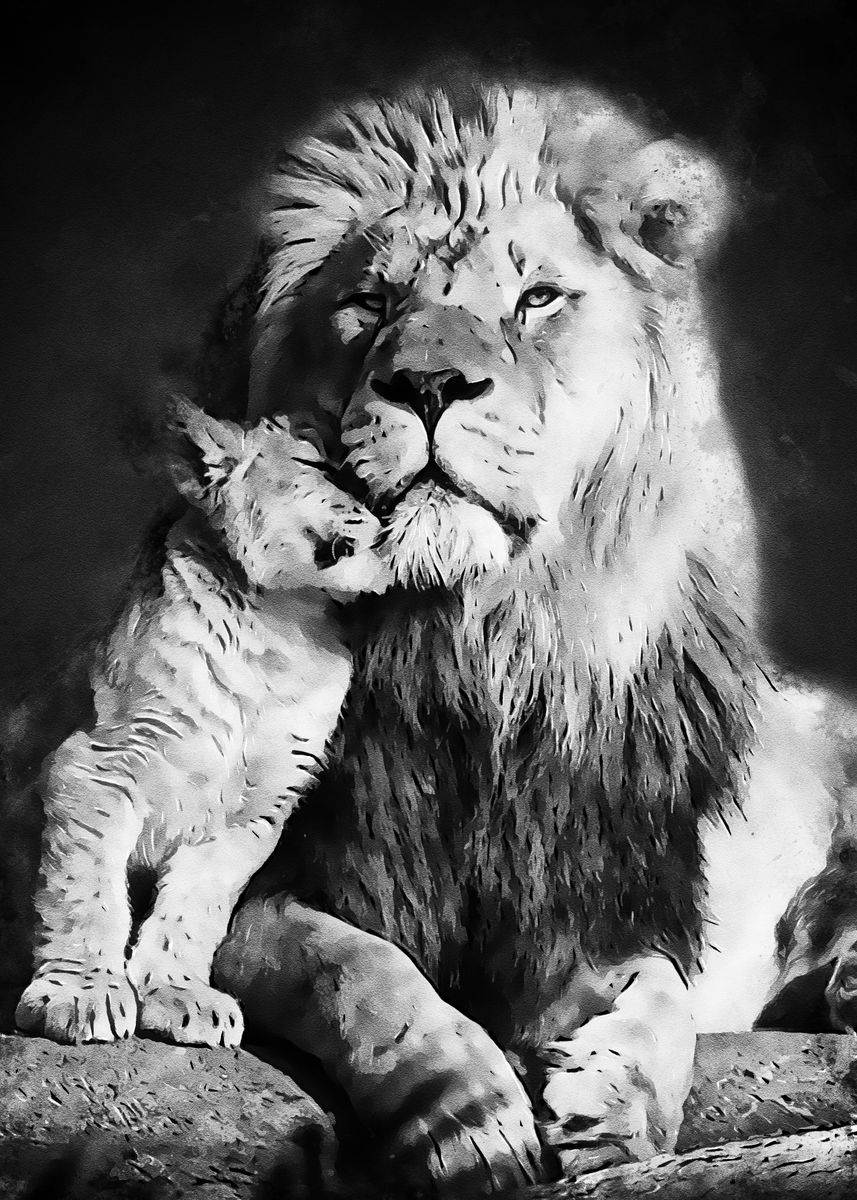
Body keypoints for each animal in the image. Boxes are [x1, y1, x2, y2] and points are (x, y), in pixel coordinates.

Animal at [15, 397, 389, 1047]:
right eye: (323, 465)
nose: (390, 511)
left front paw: (178, 993)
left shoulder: (255, 811)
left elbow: (198, 907)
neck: (280, 628)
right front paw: (80, 993)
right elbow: (86, 890)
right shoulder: (95, 763)